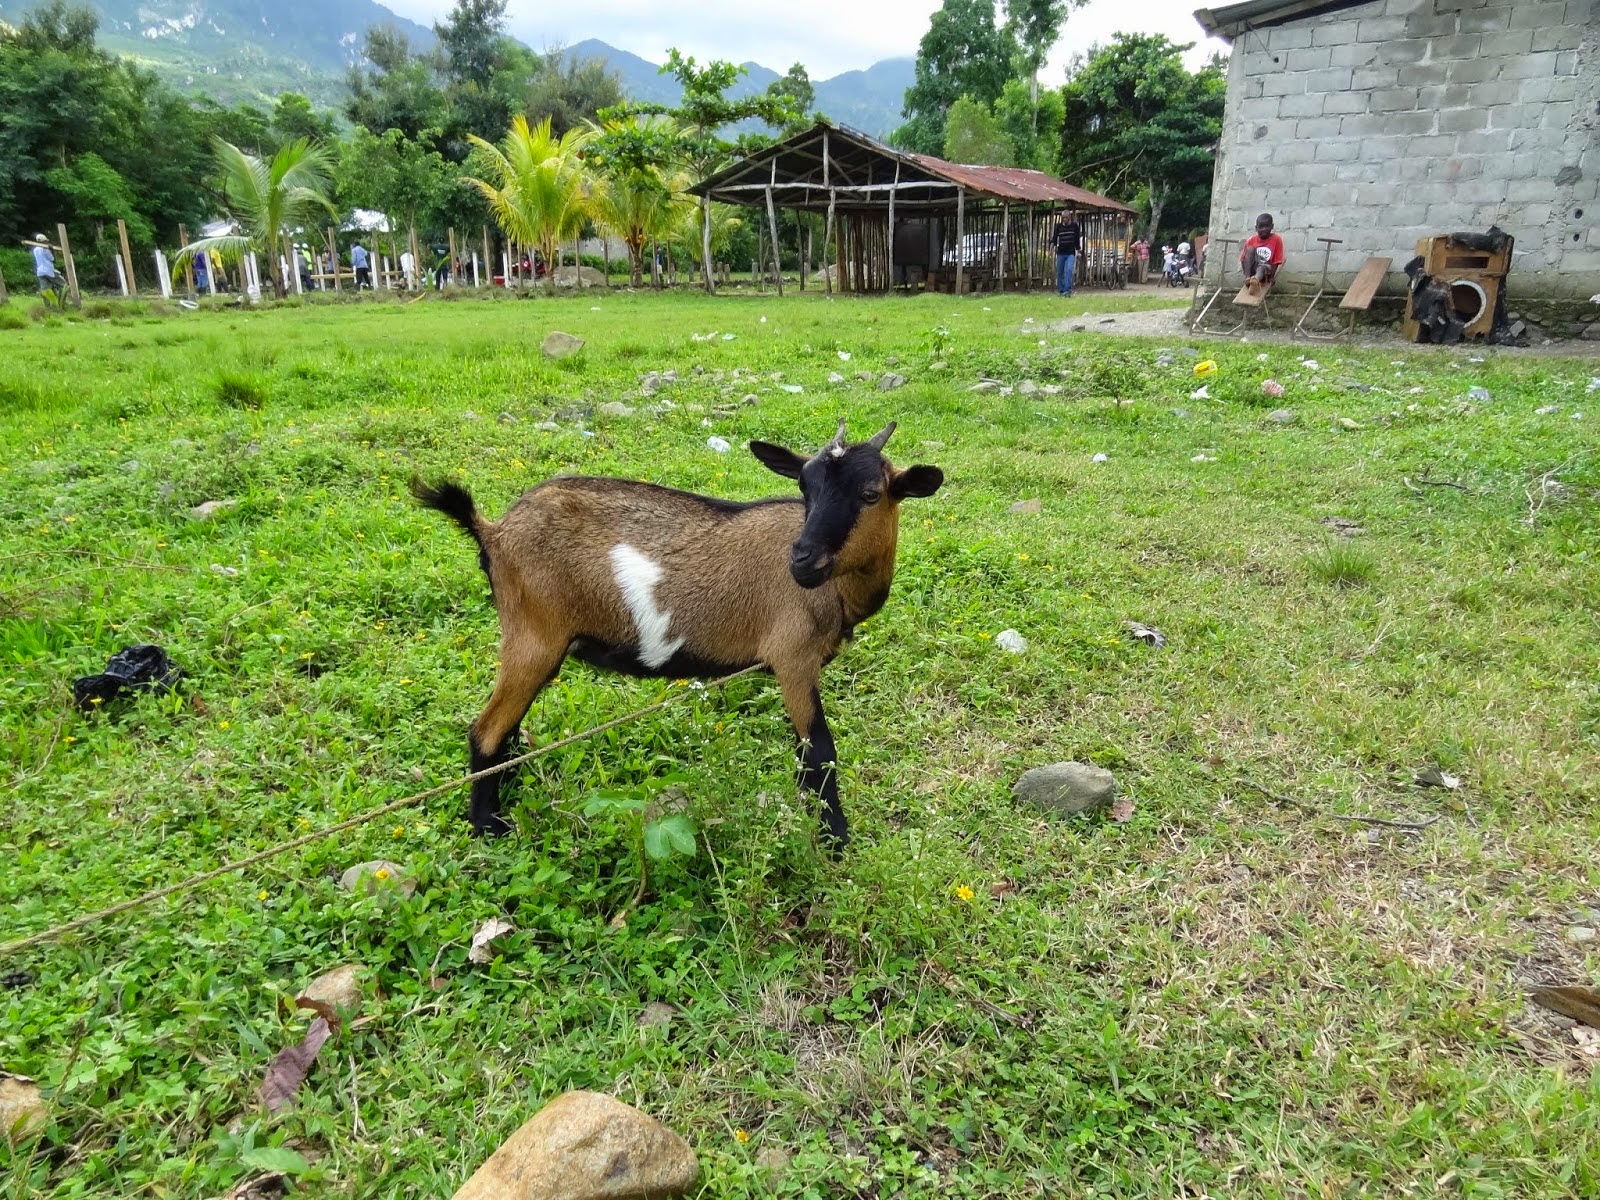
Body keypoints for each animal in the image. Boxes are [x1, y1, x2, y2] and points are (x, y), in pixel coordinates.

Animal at [411, 420, 944, 851]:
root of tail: (493, 531)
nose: (802, 560)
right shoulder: (793, 657)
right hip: (532, 635)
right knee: (486, 730)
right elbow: (819, 756)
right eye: (804, 487)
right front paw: (836, 844)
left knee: (507, 729)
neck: (836, 591)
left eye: (871, 494)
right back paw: (489, 828)